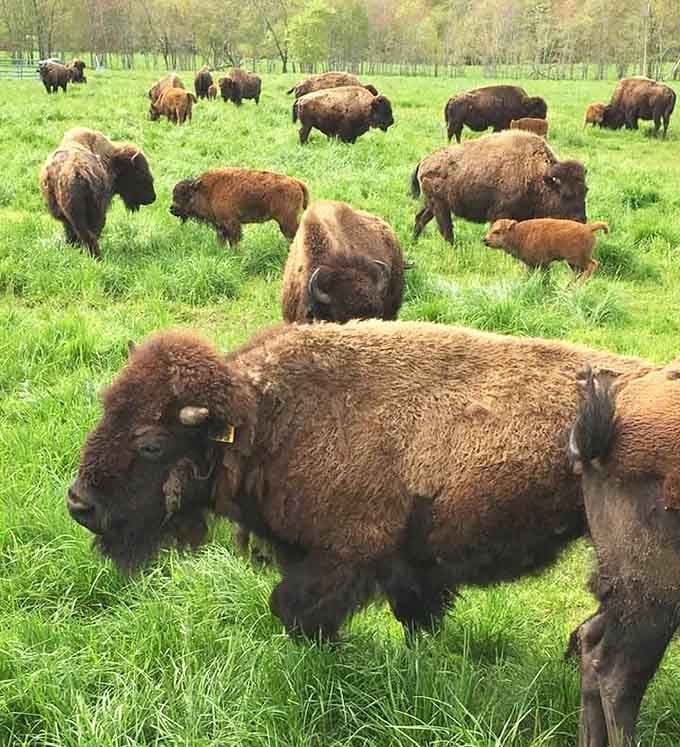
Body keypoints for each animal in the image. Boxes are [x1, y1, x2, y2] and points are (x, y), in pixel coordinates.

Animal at [412, 130, 588, 244]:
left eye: (585, 190)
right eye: (566, 194)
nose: (581, 220)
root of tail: (425, 161)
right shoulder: (500, 213)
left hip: (431, 204)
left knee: (420, 219)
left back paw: (414, 242)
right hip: (440, 205)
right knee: (445, 229)